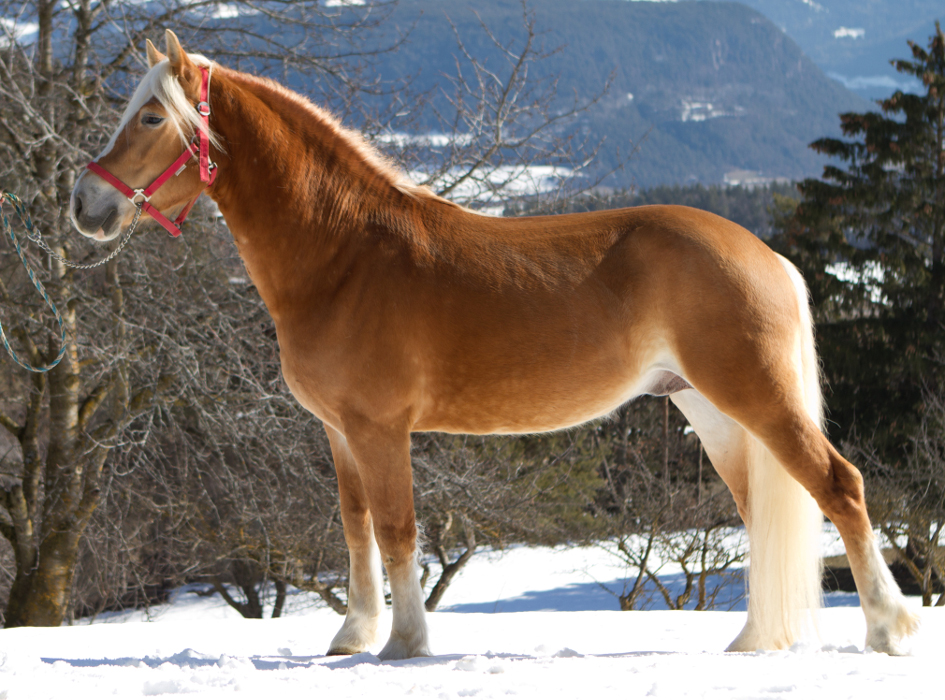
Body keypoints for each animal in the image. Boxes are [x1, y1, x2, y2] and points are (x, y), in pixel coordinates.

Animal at [70, 30, 918, 659]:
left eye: (151, 118)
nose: (85, 205)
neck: (344, 254)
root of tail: (764, 253)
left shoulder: (379, 431)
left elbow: (397, 530)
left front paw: (404, 645)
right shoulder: (339, 433)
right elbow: (353, 529)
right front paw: (352, 637)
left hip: (755, 395)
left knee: (838, 485)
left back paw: (887, 629)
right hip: (710, 412)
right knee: (760, 509)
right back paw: (750, 642)